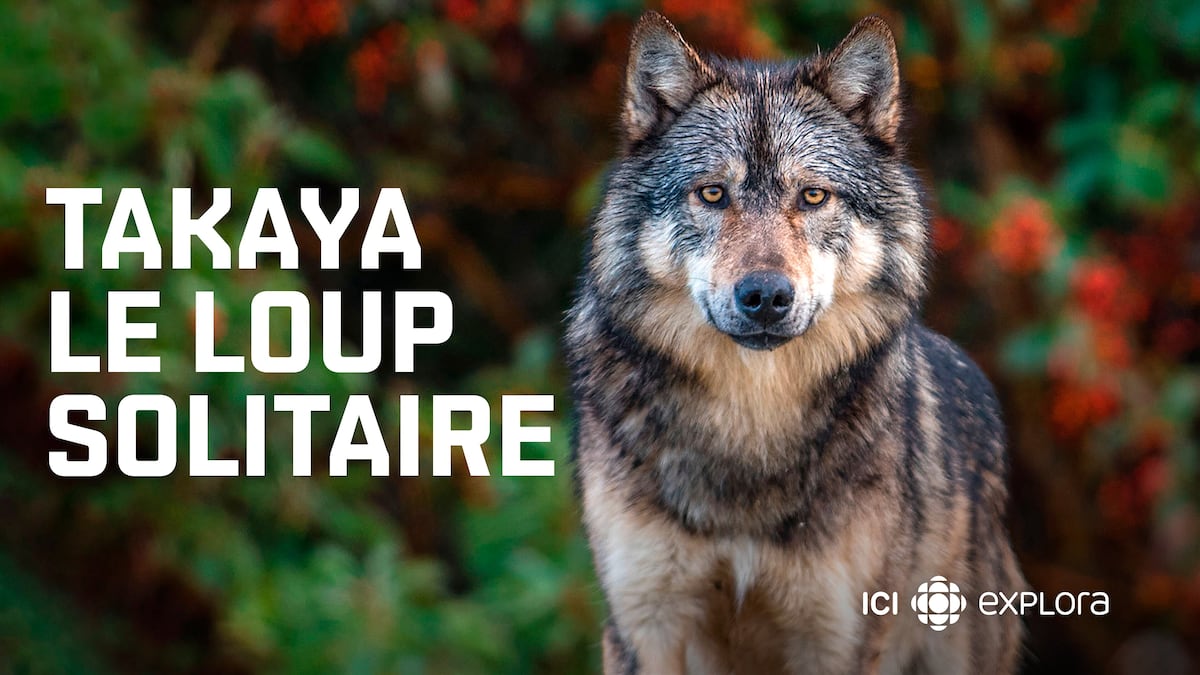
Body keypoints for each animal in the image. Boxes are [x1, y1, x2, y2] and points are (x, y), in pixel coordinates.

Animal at [565, 12, 1025, 675]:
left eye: (812, 196)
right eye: (712, 194)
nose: (765, 296)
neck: (750, 423)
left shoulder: (838, 636)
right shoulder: (643, 627)